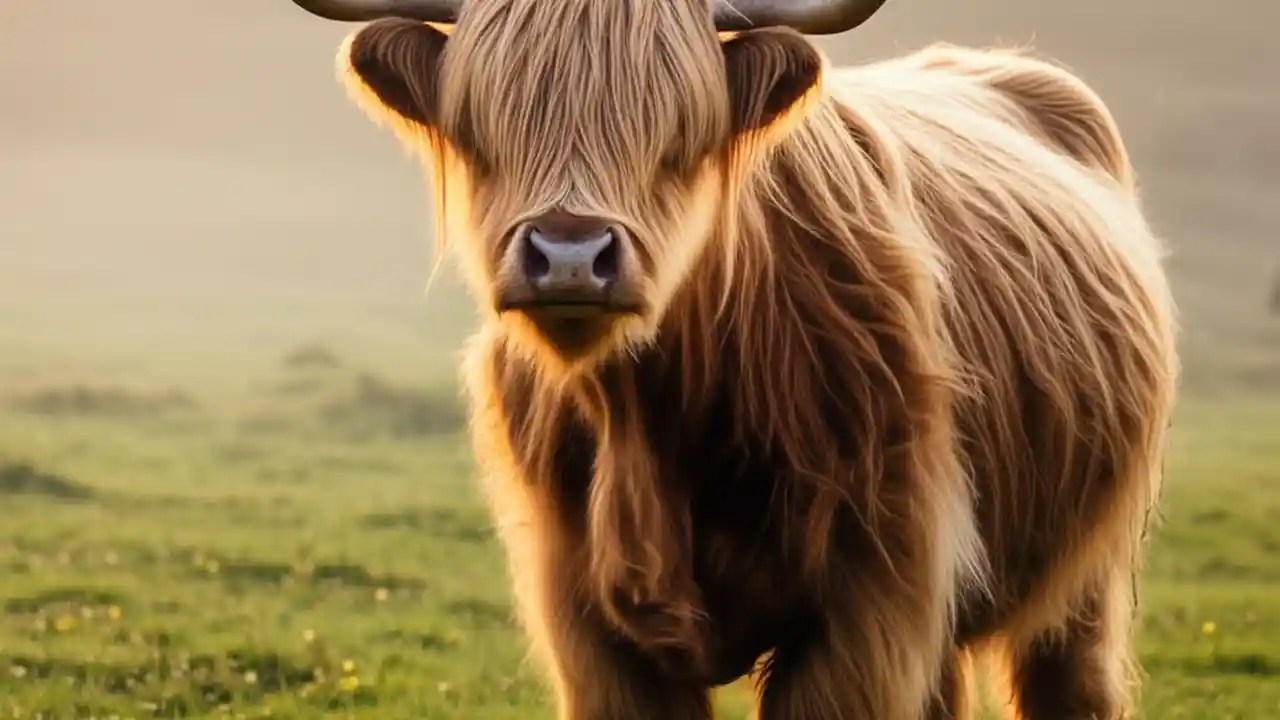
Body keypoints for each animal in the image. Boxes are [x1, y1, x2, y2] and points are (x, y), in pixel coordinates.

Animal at [288, 1, 1180, 718]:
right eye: (480, 126)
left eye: (679, 132)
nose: (570, 256)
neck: (658, 427)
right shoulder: (587, 618)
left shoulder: (872, 599)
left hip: (1081, 581)